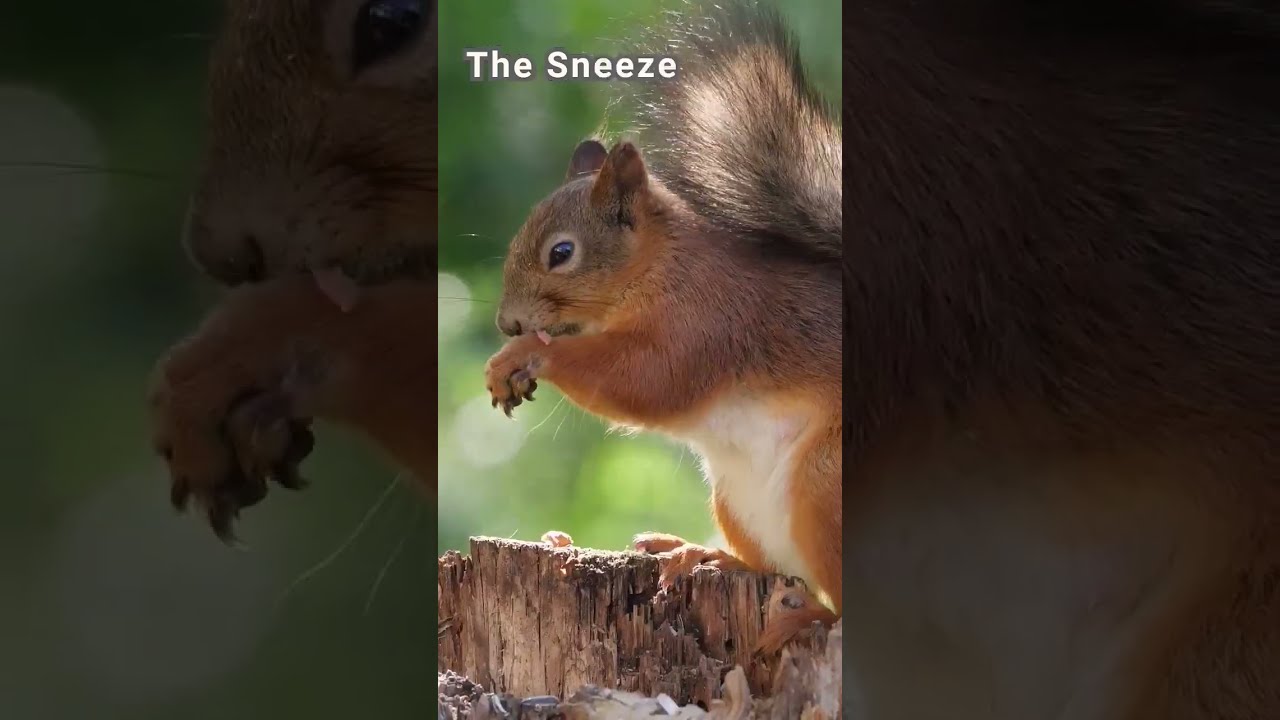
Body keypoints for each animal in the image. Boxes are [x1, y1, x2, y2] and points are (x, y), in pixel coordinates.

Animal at [483, 4, 841, 653]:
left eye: (561, 253)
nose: (506, 322)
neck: (660, 267)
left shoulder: (708, 321)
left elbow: (648, 381)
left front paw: (523, 354)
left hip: (827, 482)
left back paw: (806, 620)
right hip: (735, 498)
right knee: (775, 565)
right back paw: (702, 554)